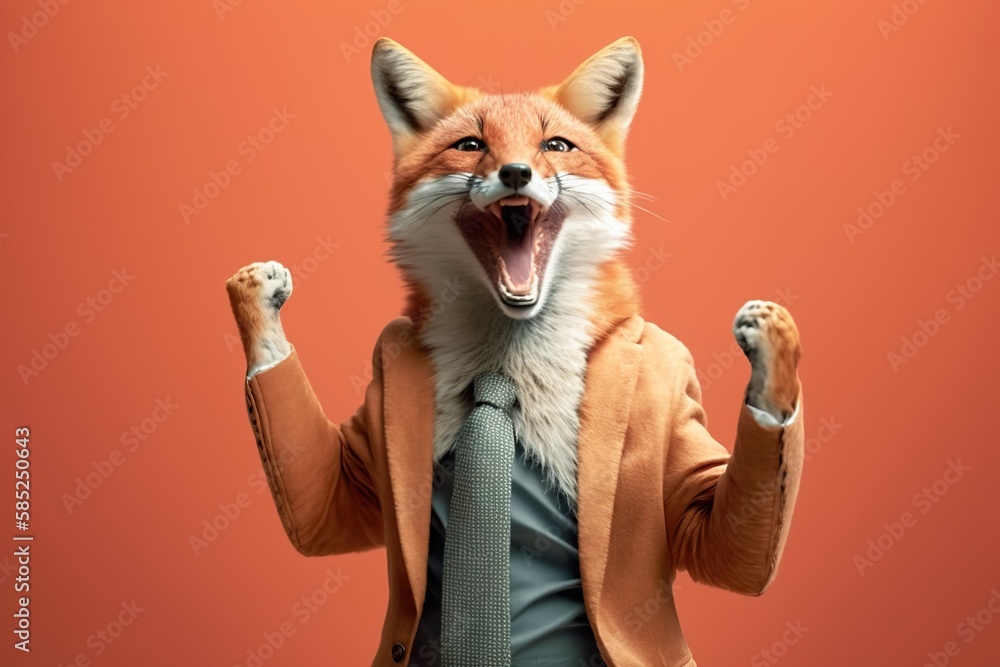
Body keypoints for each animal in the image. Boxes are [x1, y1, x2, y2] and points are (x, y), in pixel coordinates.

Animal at [226, 36, 804, 667]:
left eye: (556, 146)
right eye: (471, 145)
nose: (516, 171)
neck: (507, 364)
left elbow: (722, 540)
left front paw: (775, 360)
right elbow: (322, 510)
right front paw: (257, 304)